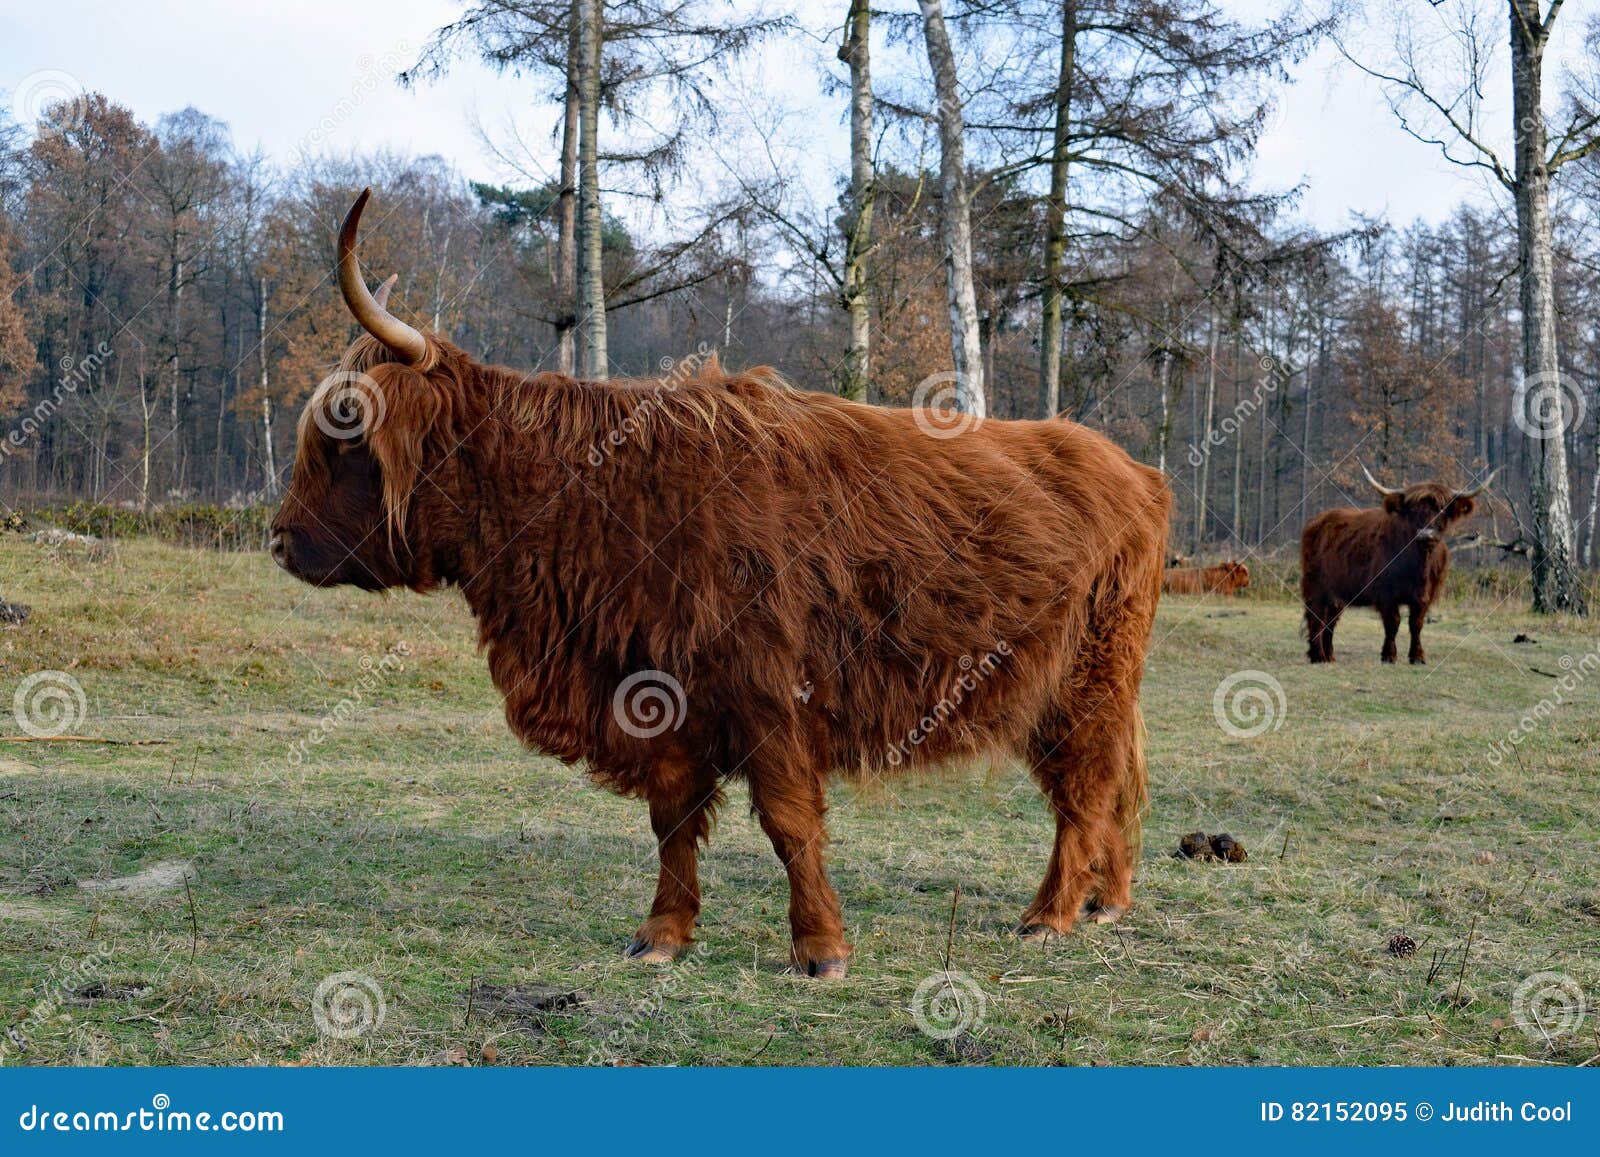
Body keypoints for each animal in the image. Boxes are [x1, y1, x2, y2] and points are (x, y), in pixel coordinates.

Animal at [269, 190, 1171, 978]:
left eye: (343, 434)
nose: (279, 540)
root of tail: (1131, 467)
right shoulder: (656, 693)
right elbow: (671, 821)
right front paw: (663, 934)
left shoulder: (765, 690)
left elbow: (789, 821)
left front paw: (820, 948)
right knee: (1106, 780)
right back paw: (1106, 899)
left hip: (1085, 678)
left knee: (1086, 787)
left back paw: (1050, 913)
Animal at [1300, 464, 1495, 665]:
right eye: (1413, 511)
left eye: (1442, 509)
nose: (1427, 534)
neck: (1419, 564)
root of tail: (1318, 520)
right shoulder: (1386, 593)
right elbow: (1393, 622)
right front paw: (1389, 656)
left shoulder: (1424, 596)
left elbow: (1416, 624)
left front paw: (1417, 657)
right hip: (1315, 586)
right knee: (1316, 617)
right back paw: (1318, 656)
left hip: (1336, 594)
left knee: (1330, 621)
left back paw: (1329, 657)